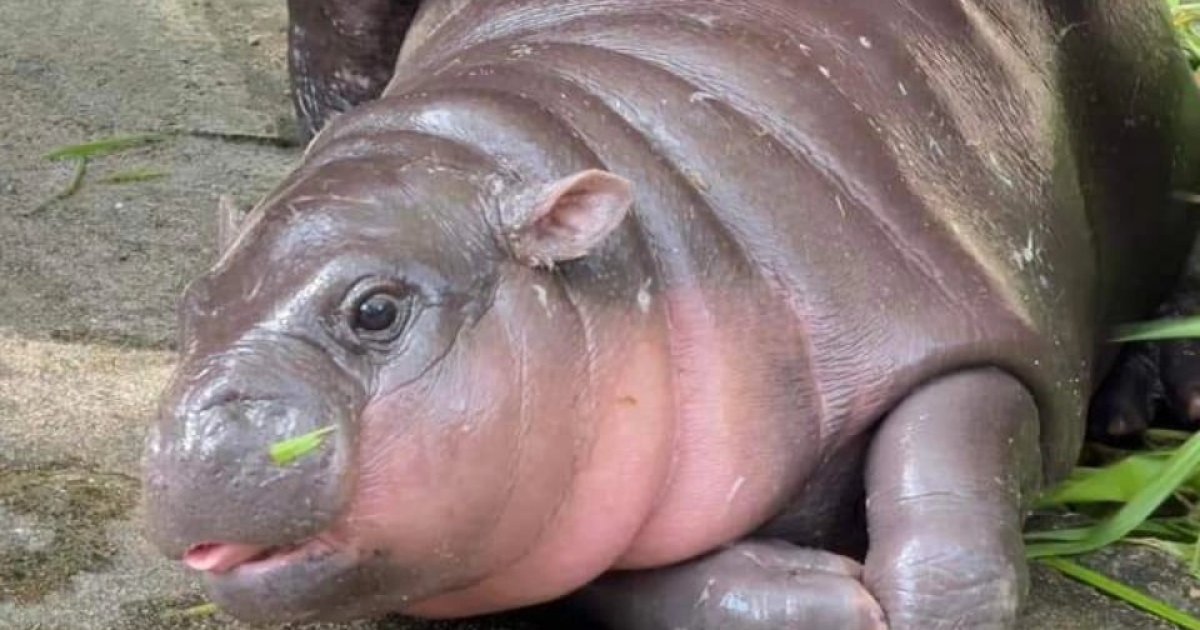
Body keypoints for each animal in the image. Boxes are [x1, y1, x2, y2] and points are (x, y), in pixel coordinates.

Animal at [142, 1, 1200, 628]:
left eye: (375, 310)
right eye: (190, 306)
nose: (194, 439)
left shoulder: (937, 308)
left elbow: (954, 482)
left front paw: (909, 607)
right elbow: (632, 578)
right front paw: (820, 595)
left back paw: (1143, 403)